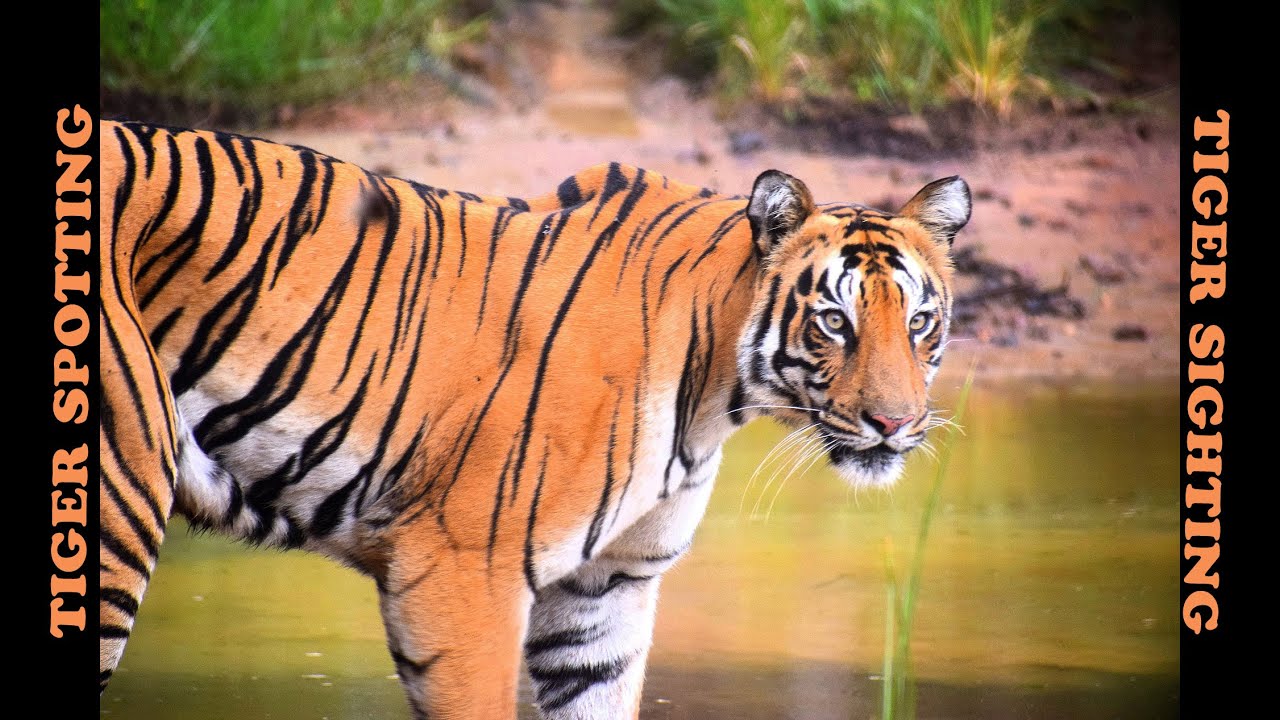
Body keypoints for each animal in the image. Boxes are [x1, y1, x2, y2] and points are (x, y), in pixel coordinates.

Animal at [100, 118, 970, 719]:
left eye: (920, 323)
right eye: (834, 322)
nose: (895, 425)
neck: (713, 395)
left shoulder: (604, 595)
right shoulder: (459, 571)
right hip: (118, 506)